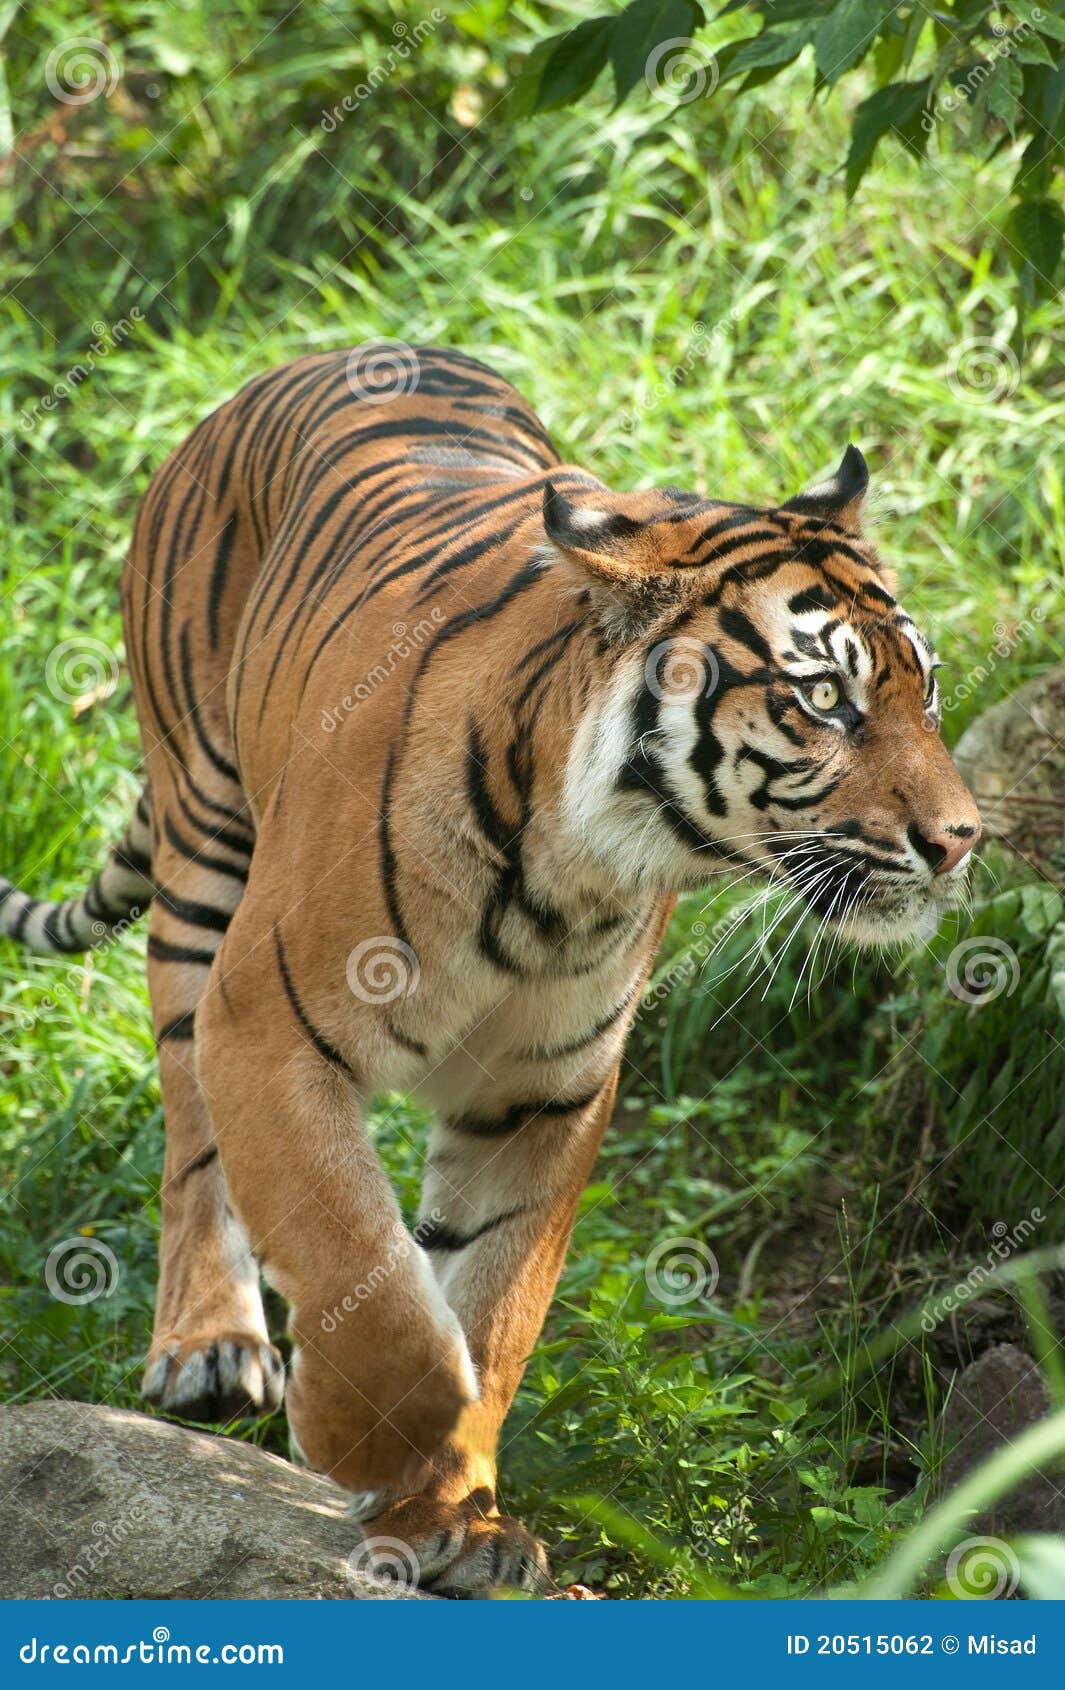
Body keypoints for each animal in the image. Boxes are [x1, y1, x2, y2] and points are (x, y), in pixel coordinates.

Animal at [2, 344, 980, 1595]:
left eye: (925, 688)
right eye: (824, 700)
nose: (961, 840)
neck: (572, 877)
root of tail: (298, 360)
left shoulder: (545, 1094)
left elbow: (493, 1306)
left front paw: (456, 1513)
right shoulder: (270, 1026)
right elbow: (363, 1266)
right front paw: (372, 1431)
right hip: (204, 848)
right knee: (187, 1121)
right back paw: (210, 1346)